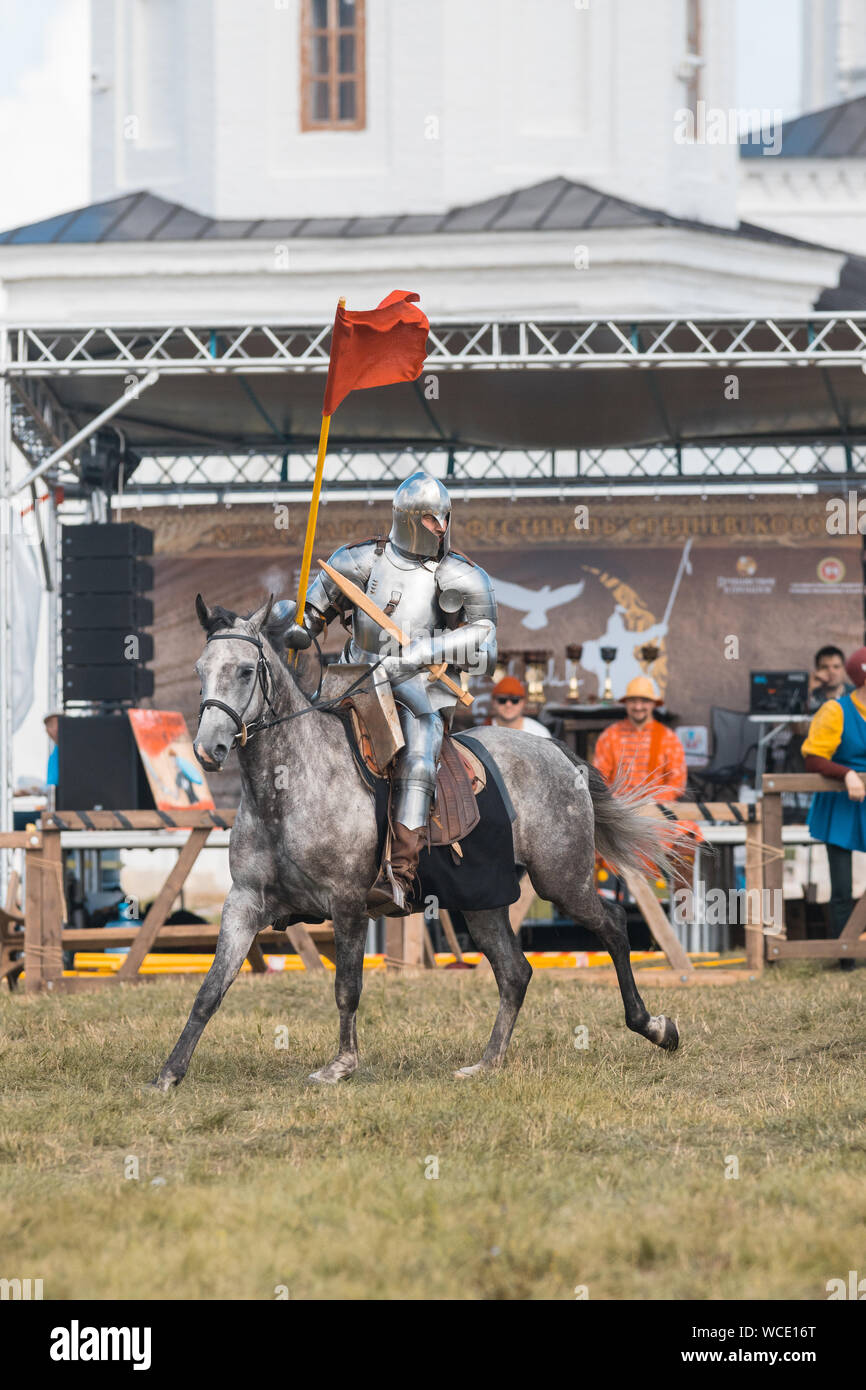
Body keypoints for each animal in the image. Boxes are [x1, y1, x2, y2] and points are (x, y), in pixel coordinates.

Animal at [151, 595, 679, 1092]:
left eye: (244, 670)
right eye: (200, 671)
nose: (208, 750)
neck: (286, 787)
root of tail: (555, 750)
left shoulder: (347, 904)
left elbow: (347, 987)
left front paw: (341, 1065)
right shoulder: (243, 904)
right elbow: (210, 990)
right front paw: (170, 1073)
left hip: (562, 881)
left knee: (613, 926)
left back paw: (654, 1027)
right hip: (484, 902)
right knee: (515, 972)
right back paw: (487, 1063)